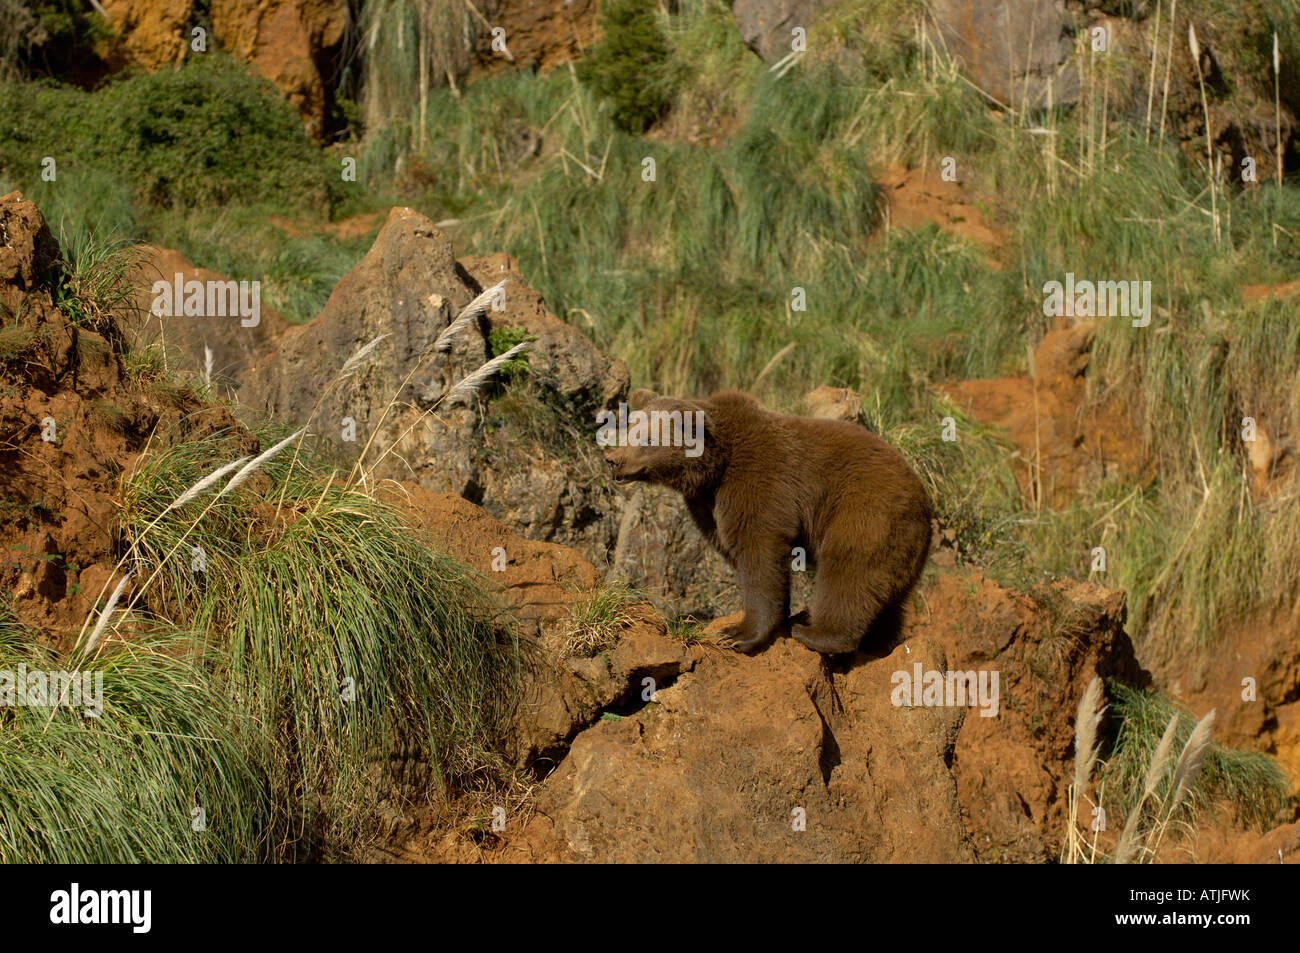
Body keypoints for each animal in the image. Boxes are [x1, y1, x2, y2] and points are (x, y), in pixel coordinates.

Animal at [603, 388, 932, 654]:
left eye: (647, 439)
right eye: (629, 429)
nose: (613, 460)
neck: (716, 466)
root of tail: (923, 498)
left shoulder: (761, 481)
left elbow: (758, 551)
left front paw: (737, 634)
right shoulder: (706, 505)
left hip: (867, 510)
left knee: (849, 569)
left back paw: (816, 632)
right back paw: (879, 641)